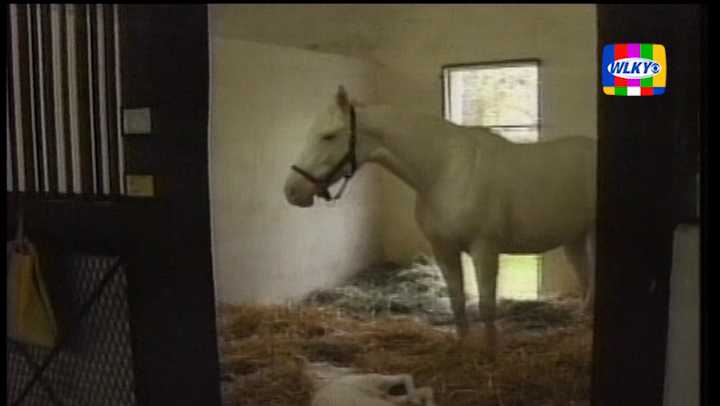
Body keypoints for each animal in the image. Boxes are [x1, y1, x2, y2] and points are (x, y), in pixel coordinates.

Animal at [284, 86, 596, 350]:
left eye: (329, 135)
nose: (292, 191)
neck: (443, 171)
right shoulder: (443, 248)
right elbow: (457, 300)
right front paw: (462, 345)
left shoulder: (485, 249)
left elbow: (486, 306)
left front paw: (491, 353)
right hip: (575, 237)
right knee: (585, 277)